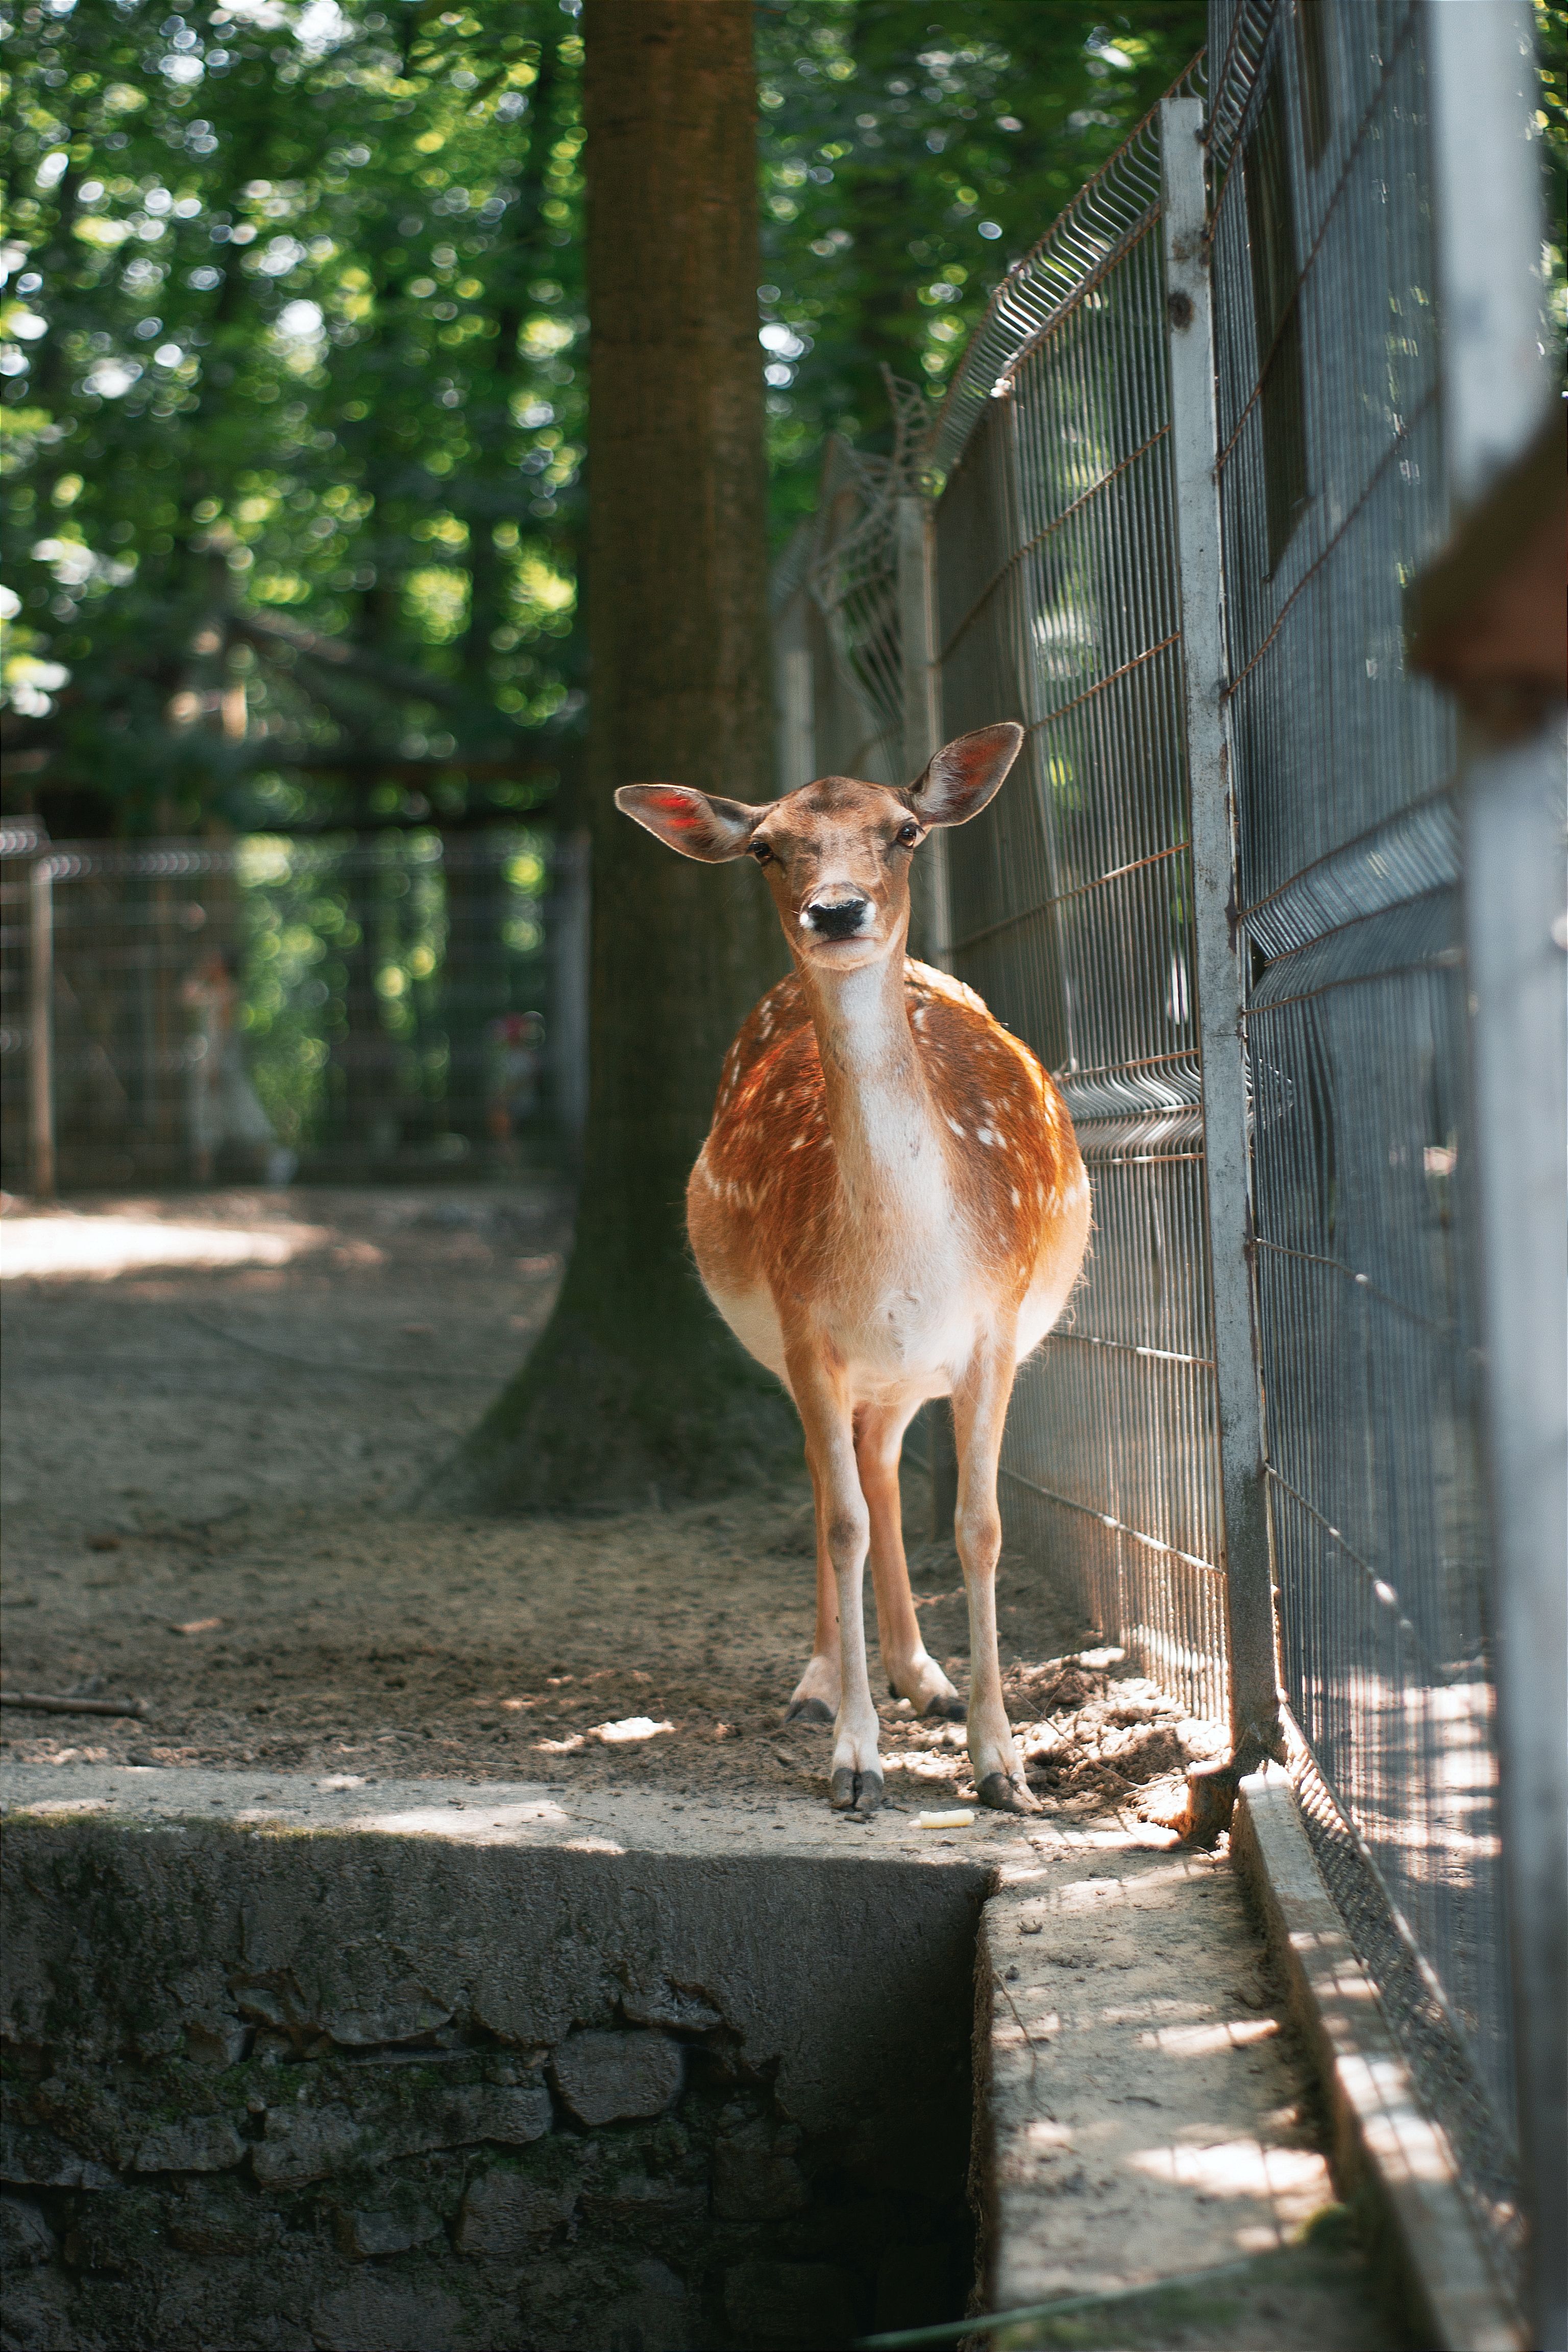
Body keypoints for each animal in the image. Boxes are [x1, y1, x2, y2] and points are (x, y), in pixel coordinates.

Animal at [617, 723, 1091, 1814]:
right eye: (764, 846)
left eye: (904, 830)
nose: (834, 908)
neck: (901, 1255)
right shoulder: (806, 1332)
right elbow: (839, 1525)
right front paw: (854, 1760)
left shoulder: (992, 1330)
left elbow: (978, 1525)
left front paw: (1002, 1766)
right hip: (822, 1361)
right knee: (842, 1482)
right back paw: (821, 1683)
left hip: (905, 1371)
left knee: (879, 1467)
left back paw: (925, 1676)